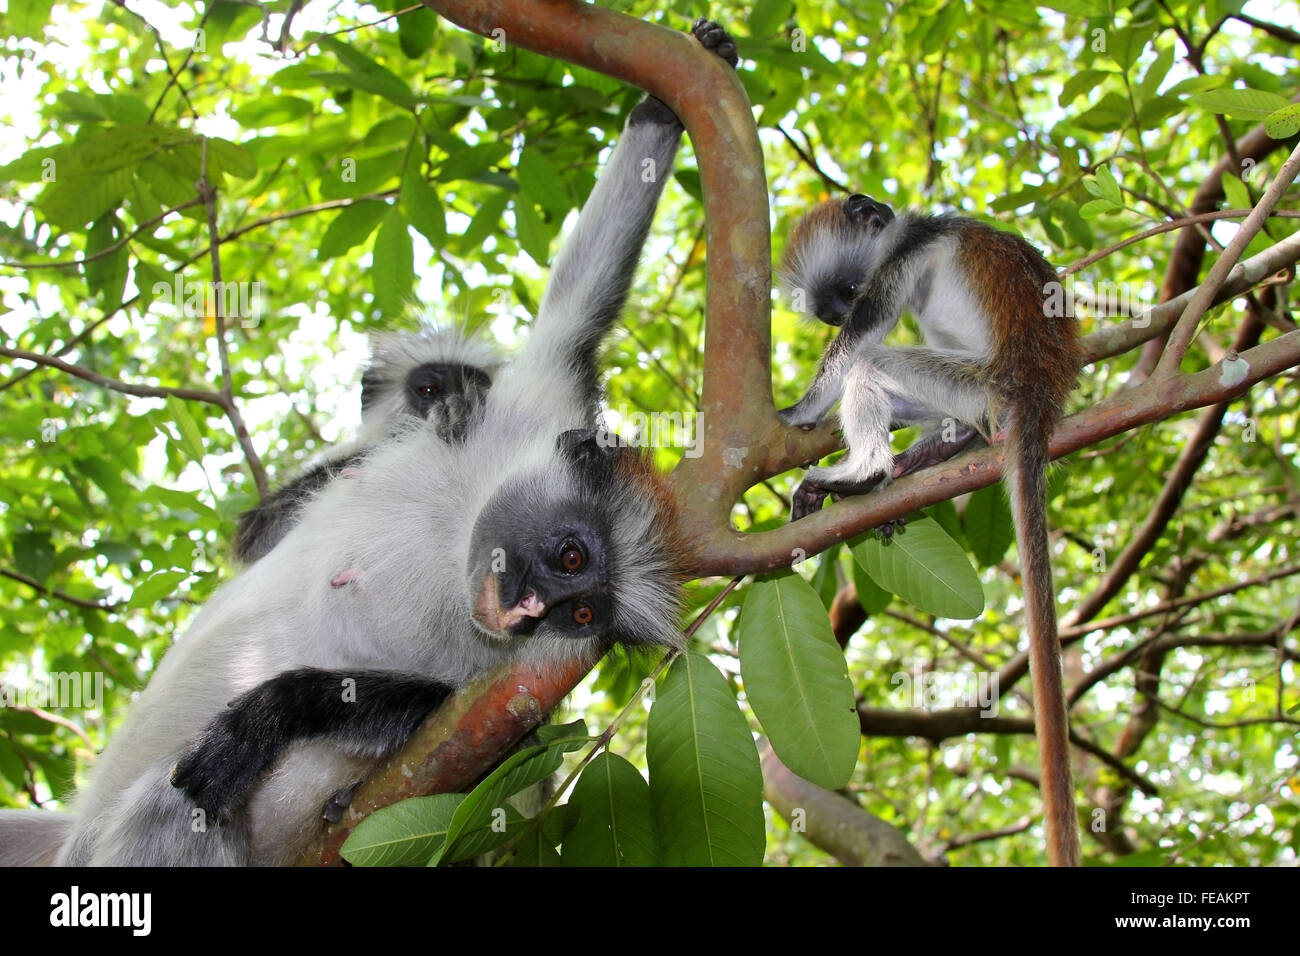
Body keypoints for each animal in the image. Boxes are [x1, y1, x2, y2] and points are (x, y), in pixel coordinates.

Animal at [778, 193, 1083, 866]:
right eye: (833, 305)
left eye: (850, 291)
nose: (843, 308)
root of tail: (1039, 388)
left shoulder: (907, 253)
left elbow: (859, 341)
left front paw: (793, 413)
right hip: (971, 394)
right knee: (944, 413)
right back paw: (918, 465)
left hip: (980, 383)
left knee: (872, 361)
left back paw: (868, 471)